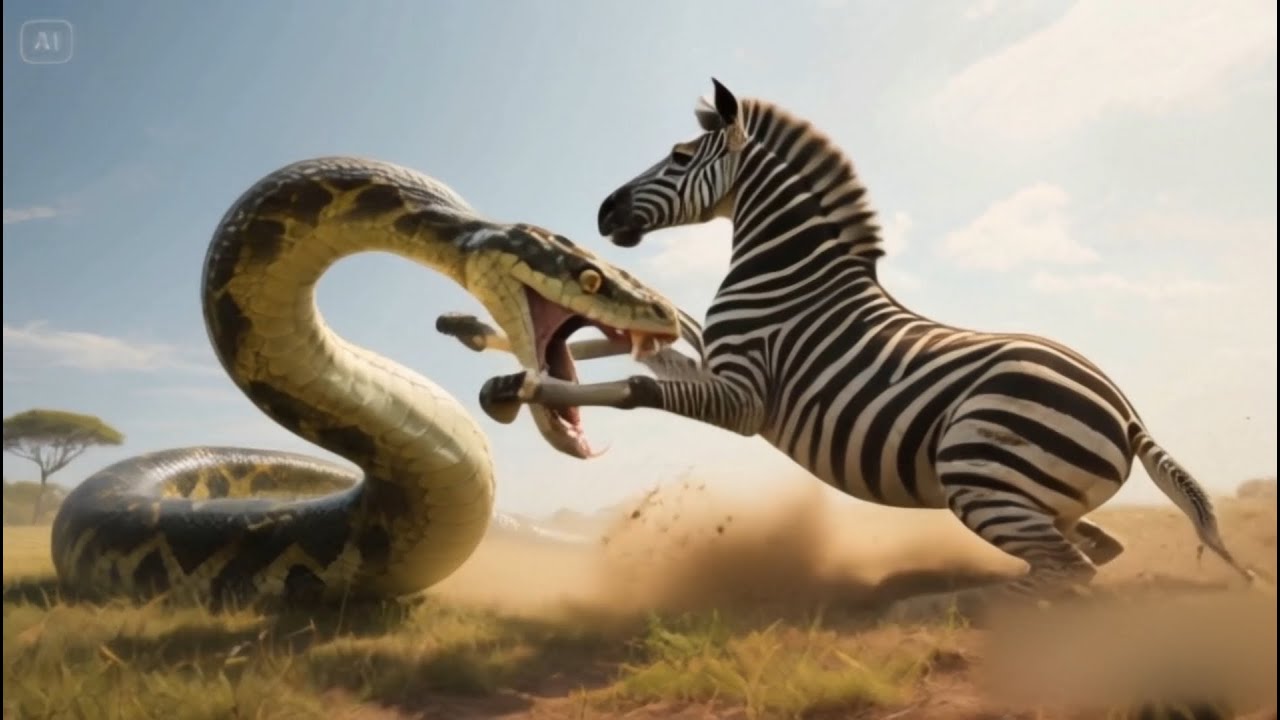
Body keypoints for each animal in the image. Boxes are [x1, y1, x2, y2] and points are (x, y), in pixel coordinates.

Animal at [477, 78, 1258, 619]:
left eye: (676, 155)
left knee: (1071, 574)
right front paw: (511, 364)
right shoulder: (722, 369)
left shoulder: (744, 399)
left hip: (976, 474)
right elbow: (644, 348)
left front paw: (525, 391)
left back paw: (926, 607)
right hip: (1029, 495)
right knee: (1093, 552)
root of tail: (1128, 413)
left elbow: (640, 389)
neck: (788, 272)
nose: (603, 212)